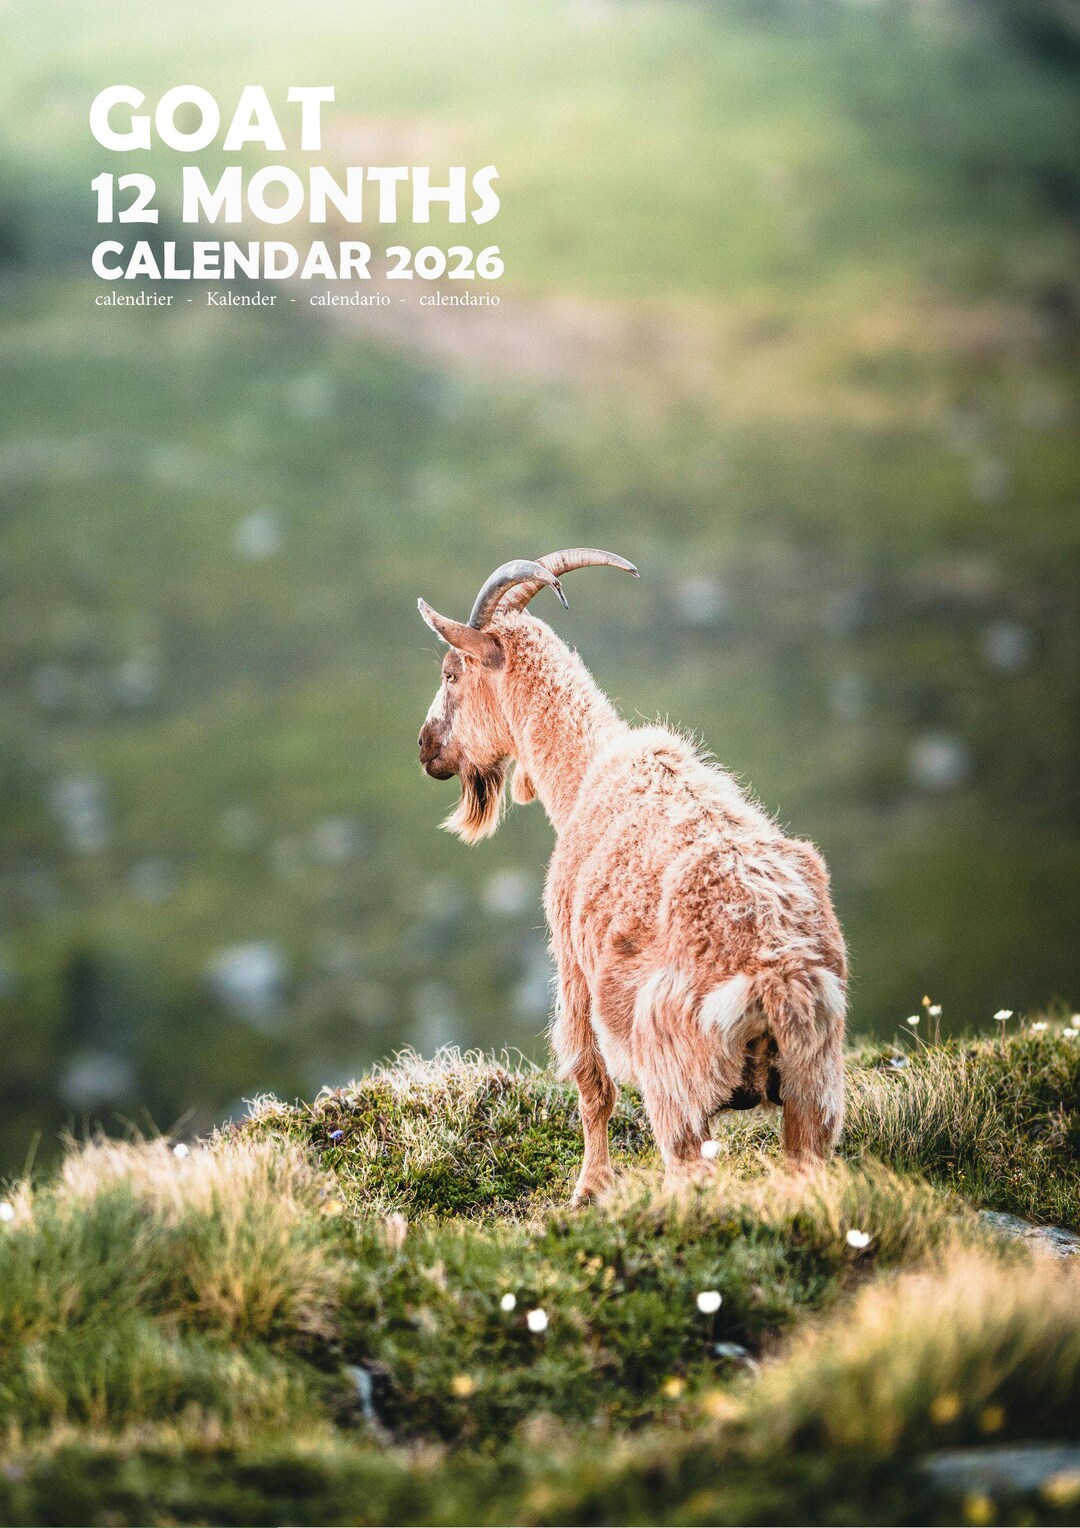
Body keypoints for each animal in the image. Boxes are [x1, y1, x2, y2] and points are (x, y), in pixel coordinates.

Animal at [417, 550, 847, 1204]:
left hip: (678, 1087)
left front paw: (588, 1190)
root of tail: (778, 978)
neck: (584, 773)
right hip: (814, 1090)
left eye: (451, 673)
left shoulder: (572, 968)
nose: (425, 749)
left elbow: (593, 1090)